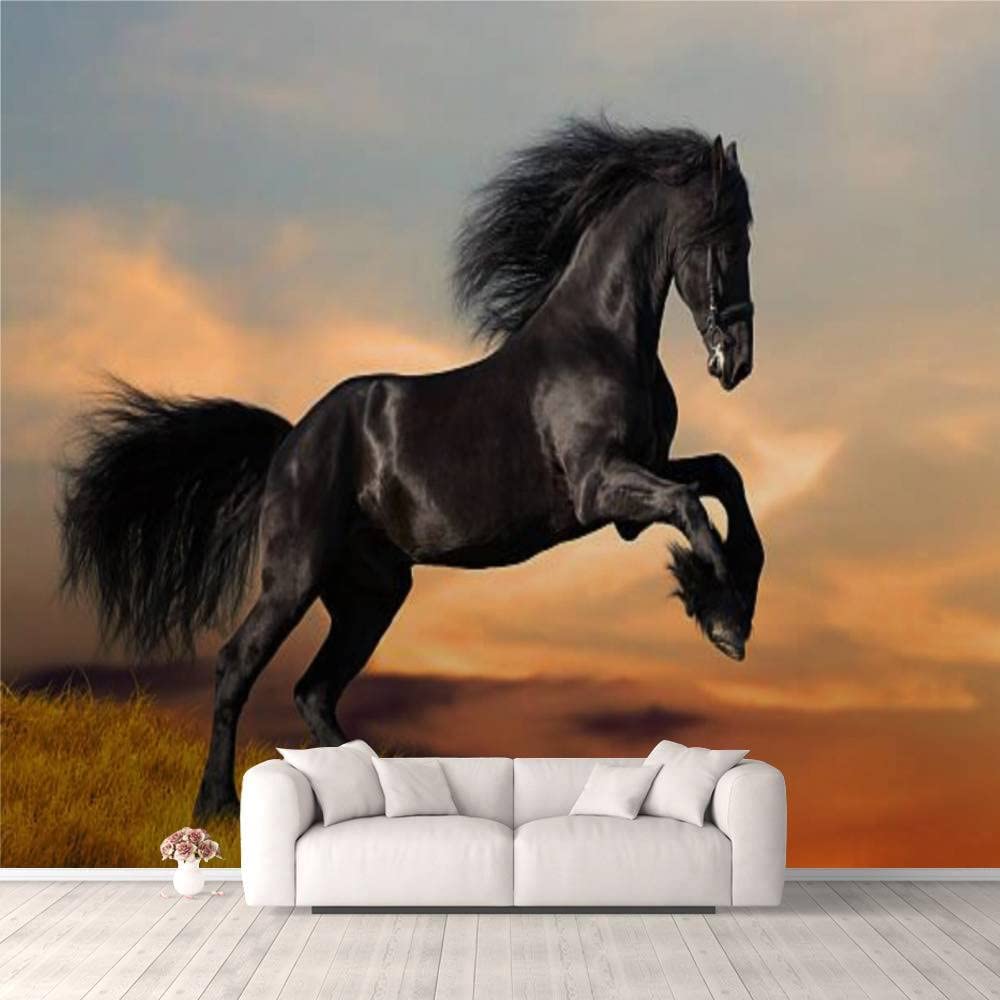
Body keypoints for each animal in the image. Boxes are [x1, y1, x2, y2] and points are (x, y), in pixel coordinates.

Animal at [59, 118, 764, 820]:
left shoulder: (645, 474)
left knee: (314, 691)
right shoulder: (600, 488)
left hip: (372, 593)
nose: (738, 362)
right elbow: (692, 505)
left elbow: (724, 478)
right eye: (728, 240)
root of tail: (290, 443)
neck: (599, 340)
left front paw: (731, 601)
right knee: (238, 665)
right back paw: (215, 805)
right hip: (295, 575)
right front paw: (722, 616)